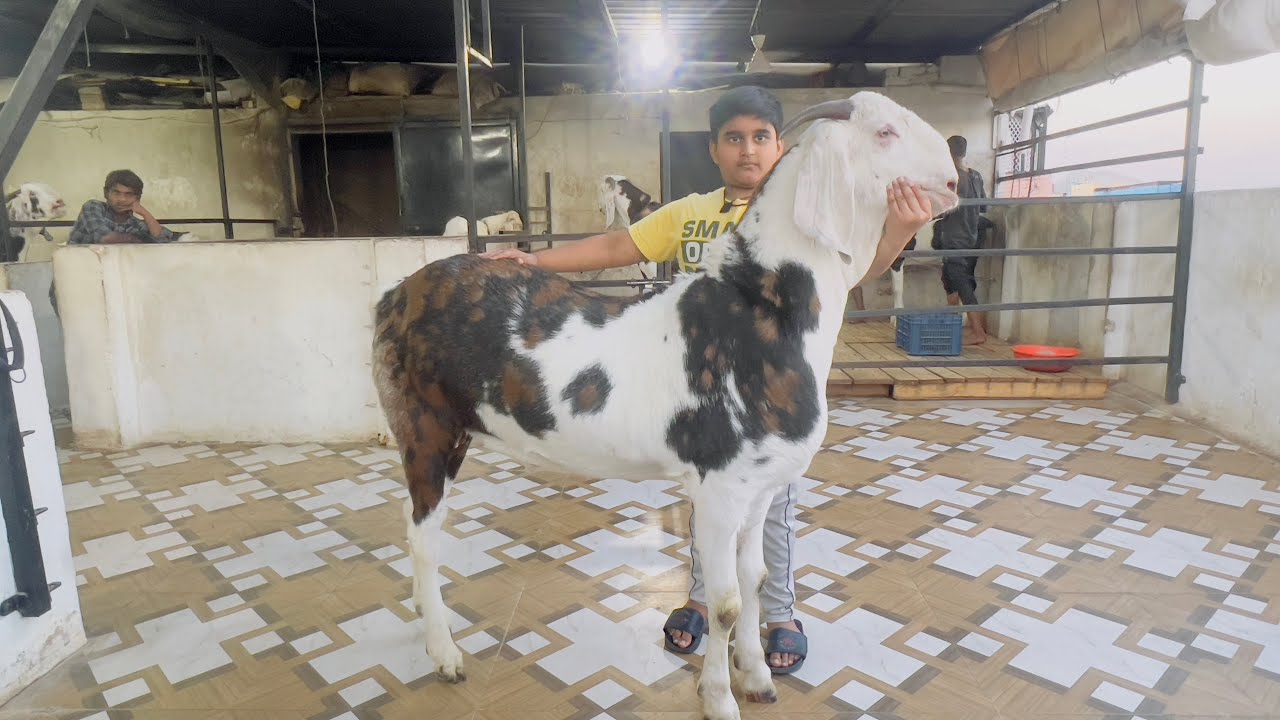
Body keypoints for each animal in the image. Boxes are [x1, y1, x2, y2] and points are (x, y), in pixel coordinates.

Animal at [371, 91, 959, 720]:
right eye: (885, 132)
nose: (952, 180)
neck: (759, 312)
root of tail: (395, 294)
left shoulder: (761, 486)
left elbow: (754, 578)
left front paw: (756, 676)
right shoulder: (720, 486)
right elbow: (725, 602)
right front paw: (720, 698)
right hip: (426, 427)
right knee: (423, 536)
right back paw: (444, 652)